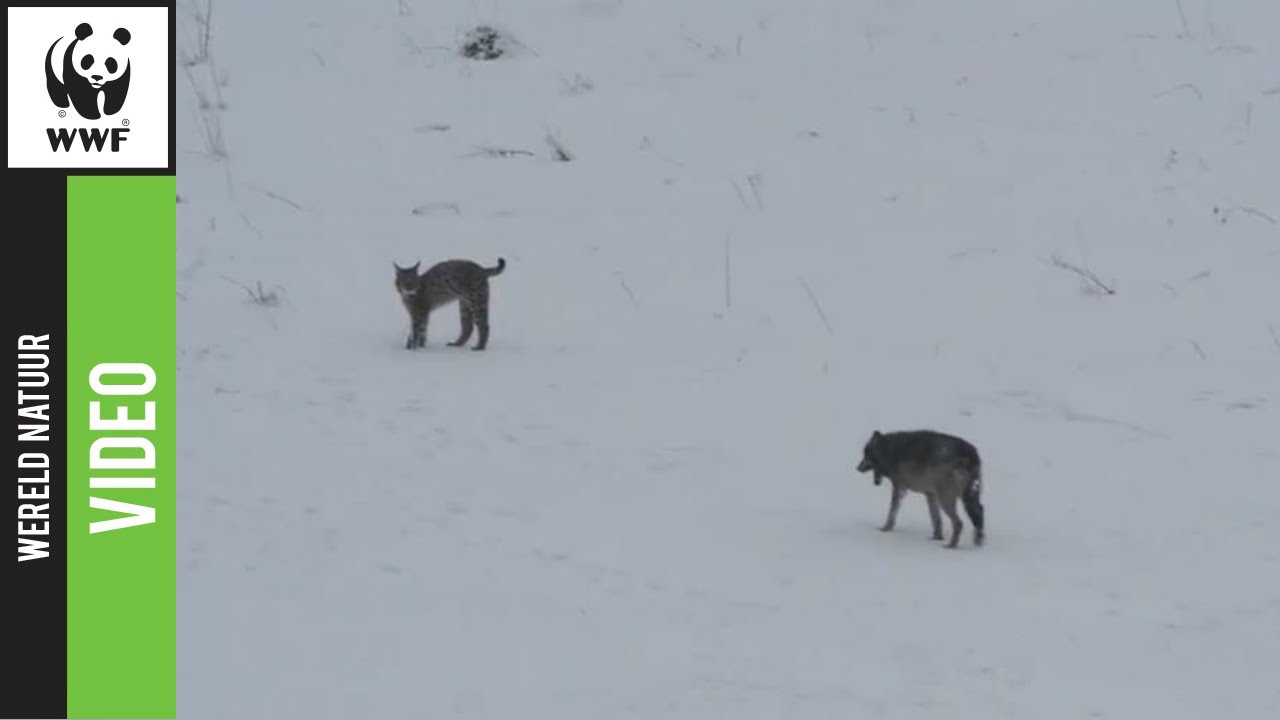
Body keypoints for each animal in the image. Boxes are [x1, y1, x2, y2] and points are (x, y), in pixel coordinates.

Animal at [855, 429, 985, 548]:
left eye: (866, 455)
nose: (857, 468)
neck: (890, 450)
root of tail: (971, 454)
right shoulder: (930, 494)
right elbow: (936, 519)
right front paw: (936, 537)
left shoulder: (899, 488)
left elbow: (892, 512)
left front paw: (885, 529)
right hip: (968, 497)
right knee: (980, 511)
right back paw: (978, 542)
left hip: (946, 498)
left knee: (959, 523)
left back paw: (951, 546)